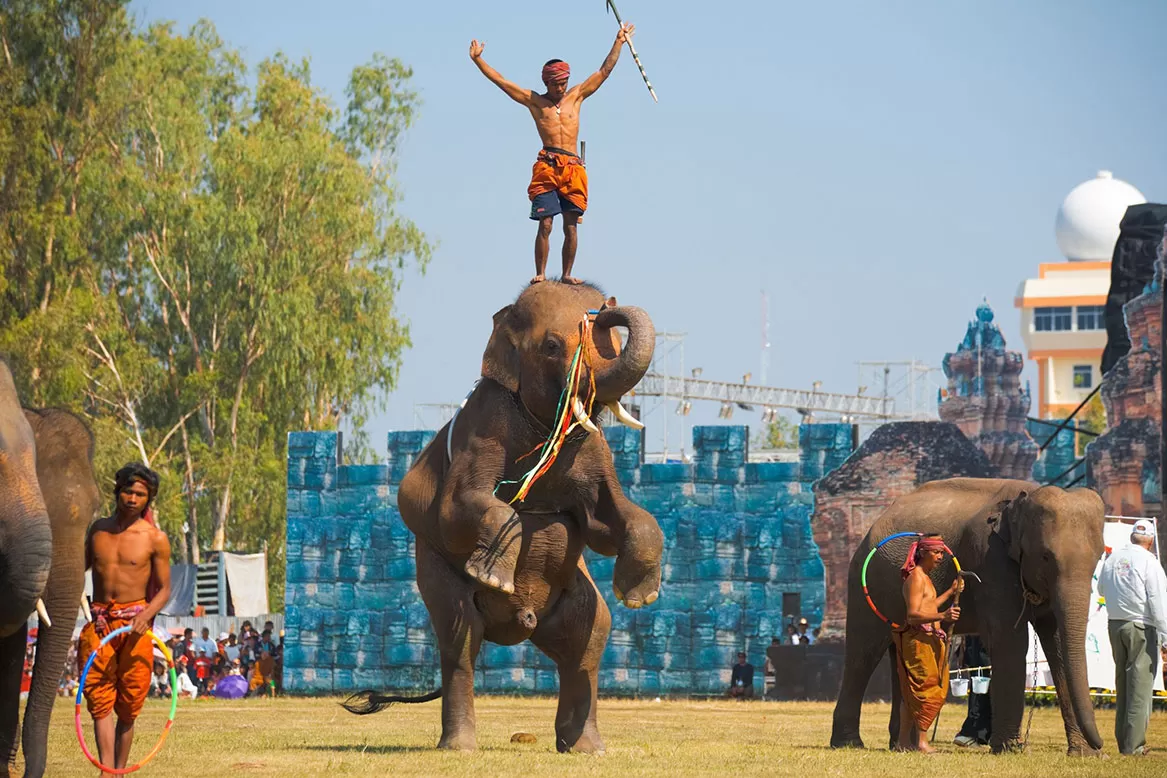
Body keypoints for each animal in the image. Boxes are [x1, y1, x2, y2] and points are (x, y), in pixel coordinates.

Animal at [340, 283, 662, 751]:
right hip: (435, 575)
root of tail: (521, 625)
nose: (604, 308)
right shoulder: (484, 429)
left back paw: (587, 750)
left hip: (571, 601)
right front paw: (492, 576)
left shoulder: (595, 454)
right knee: (460, 638)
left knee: (589, 636)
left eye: (615, 344)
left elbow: (608, 522)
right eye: (551, 346)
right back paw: (459, 747)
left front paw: (639, 596)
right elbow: (458, 510)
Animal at [830, 478, 1110, 755]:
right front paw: (1008, 749)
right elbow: (1011, 641)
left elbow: (1058, 646)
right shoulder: (990, 560)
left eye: (1099, 557)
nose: (1101, 745)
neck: (1027, 496)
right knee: (862, 653)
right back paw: (850, 744)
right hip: (866, 584)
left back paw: (903, 746)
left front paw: (1085, 754)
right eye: (1045, 556)